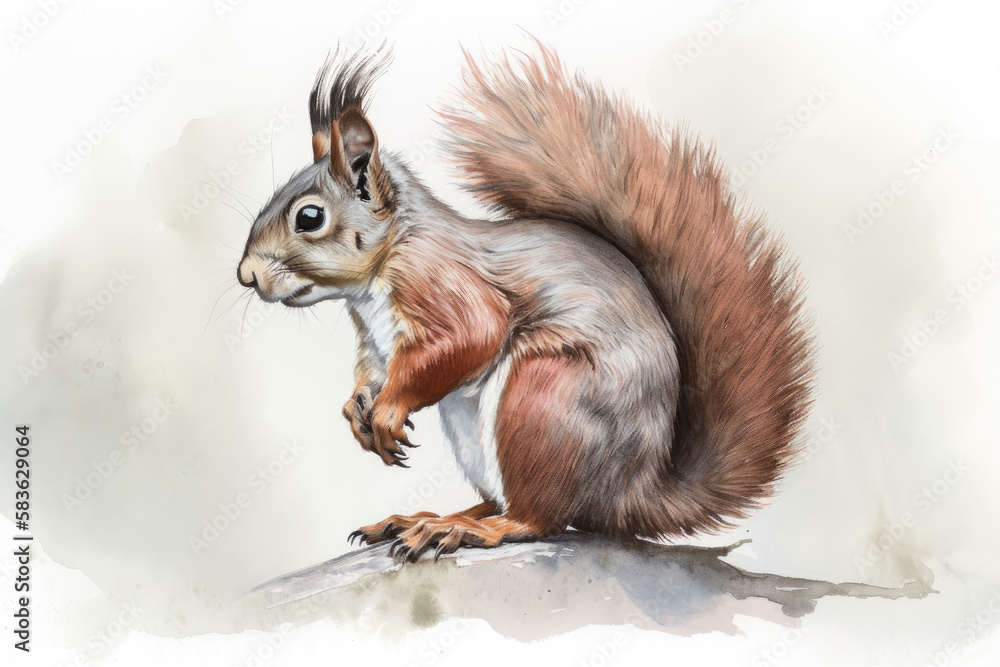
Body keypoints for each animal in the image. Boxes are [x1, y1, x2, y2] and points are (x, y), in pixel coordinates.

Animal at [237, 41, 814, 563]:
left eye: (309, 217)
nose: (246, 276)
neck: (386, 260)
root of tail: (633, 493)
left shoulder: (446, 284)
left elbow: (473, 335)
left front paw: (388, 410)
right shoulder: (377, 340)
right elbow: (371, 370)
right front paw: (357, 407)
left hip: (542, 395)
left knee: (542, 517)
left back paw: (464, 530)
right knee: (501, 500)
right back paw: (424, 519)